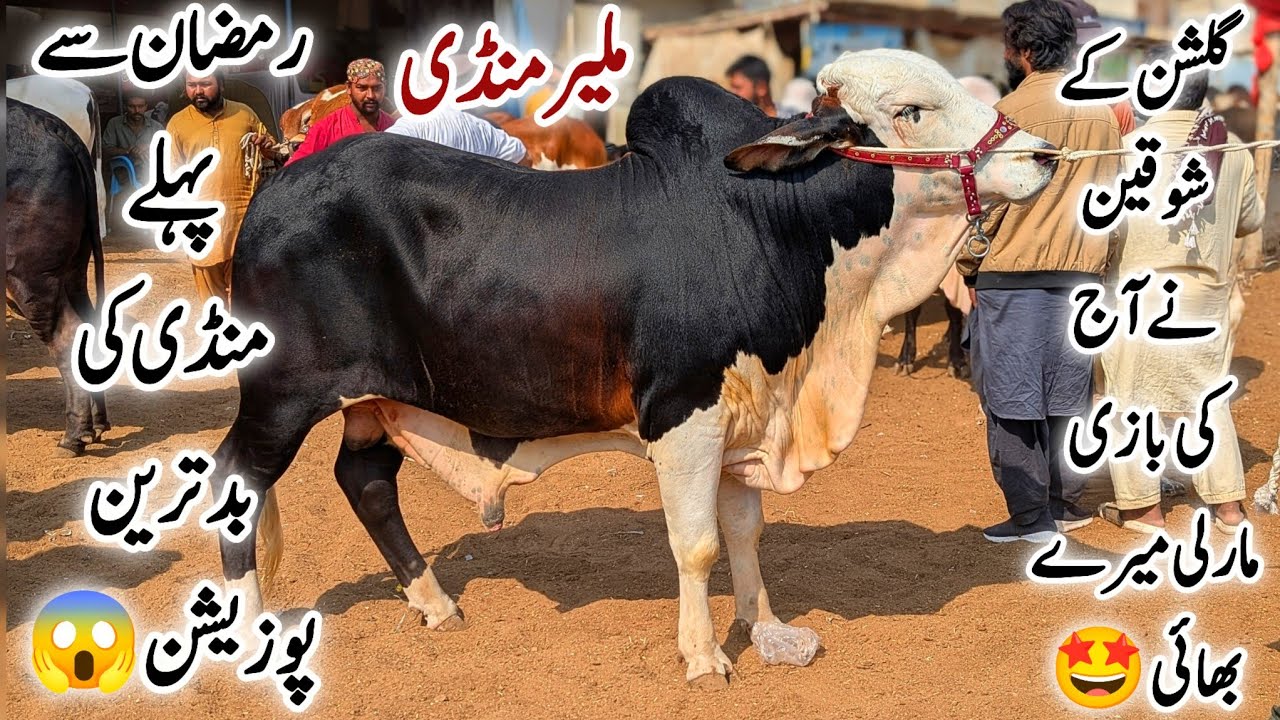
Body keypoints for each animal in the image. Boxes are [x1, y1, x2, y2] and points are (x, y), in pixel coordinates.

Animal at [6, 99, 109, 455]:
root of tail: (49, 124)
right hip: (73, 269)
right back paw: (96, 424)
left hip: (29, 276)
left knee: (68, 335)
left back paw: (74, 437)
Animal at [213, 49, 1054, 687]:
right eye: (911, 110)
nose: (1043, 154)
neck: (767, 221)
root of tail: (279, 184)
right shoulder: (684, 413)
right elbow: (698, 544)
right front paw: (706, 656)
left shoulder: (744, 417)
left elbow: (745, 533)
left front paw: (768, 627)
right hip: (282, 394)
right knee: (238, 479)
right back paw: (248, 624)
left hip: (375, 399)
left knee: (364, 480)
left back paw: (434, 602)